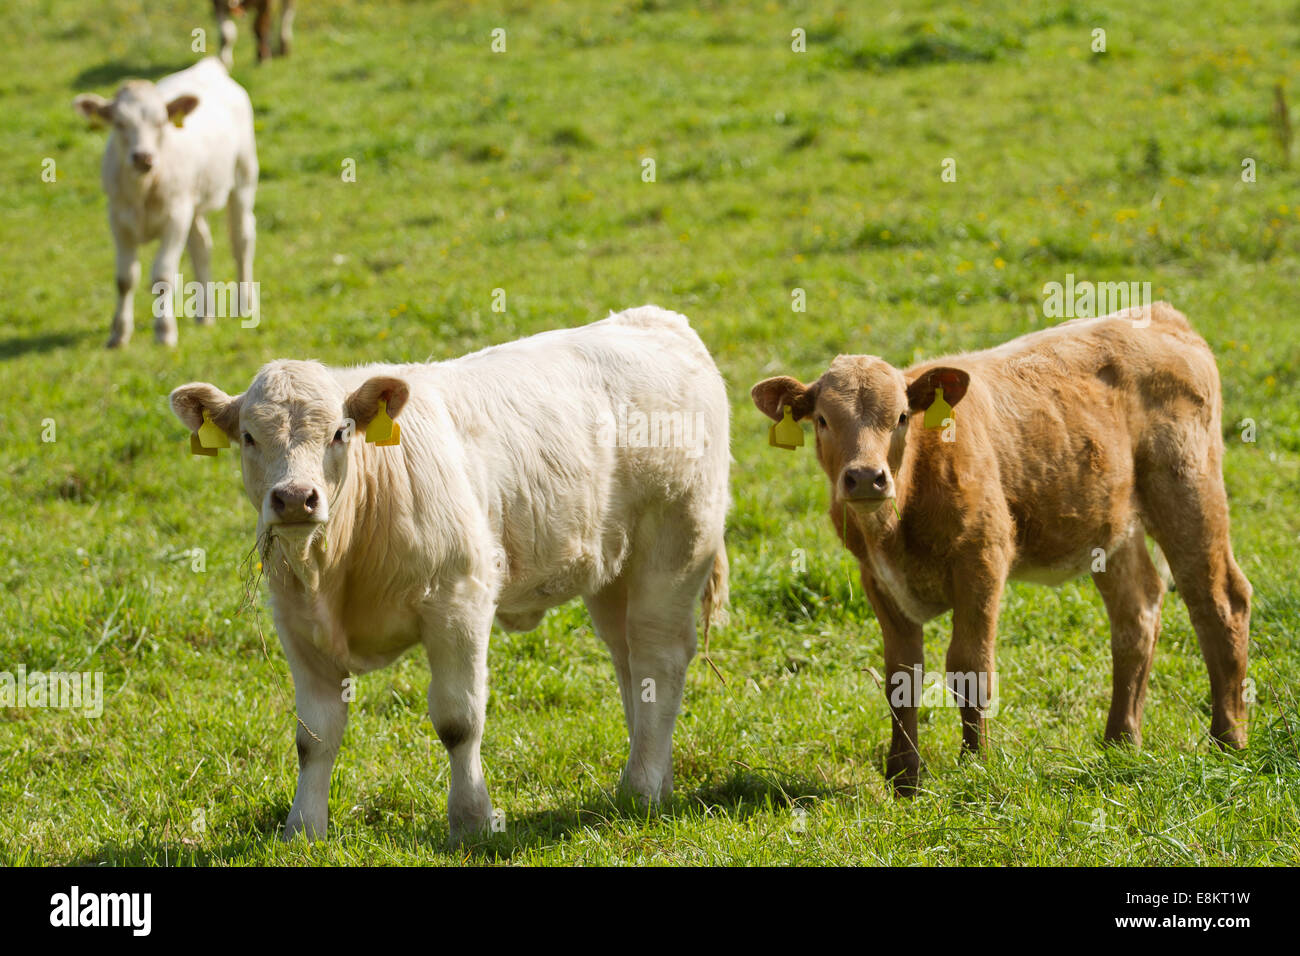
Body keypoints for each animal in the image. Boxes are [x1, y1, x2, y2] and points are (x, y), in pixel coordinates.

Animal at [74, 57, 258, 348]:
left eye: (161, 122)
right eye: (119, 124)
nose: (142, 157)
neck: (142, 189)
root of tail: (208, 65)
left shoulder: (175, 217)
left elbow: (161, 275)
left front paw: (164, 331)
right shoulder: (118, 218)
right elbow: (125, 278)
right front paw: (118, 334)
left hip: (243, 178)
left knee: (241, 240)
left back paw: (244, 305)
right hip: (193, 201)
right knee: (201, 246)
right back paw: (204, 315)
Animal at [169, 306, 730, 840]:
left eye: (339, 432)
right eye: (248, 437)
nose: (293, 498)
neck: (337, 568)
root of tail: (657, 321)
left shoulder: (458, 603)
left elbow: (459, 721)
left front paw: (471, 820)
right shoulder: (298, 627)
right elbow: (314, 736)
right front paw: (302, 829)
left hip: (674, 547)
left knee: (659, 656)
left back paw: (641, 790)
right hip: (614, 572)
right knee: (629, 661)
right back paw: (654, 776)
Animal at [752, 303, 1251, 793]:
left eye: (901, 418)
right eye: (822, 420)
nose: (866, 477)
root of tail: (1158, 315)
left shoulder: (982, 557)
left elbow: (970, 666)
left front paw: (975, 765)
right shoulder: (876, 577)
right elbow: (902, 675)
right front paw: (904, 777)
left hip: (1188, 489)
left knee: (1220, 602)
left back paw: (1227, 741)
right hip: (1114, 525)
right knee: (1137, 614)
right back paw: (1120, 742)